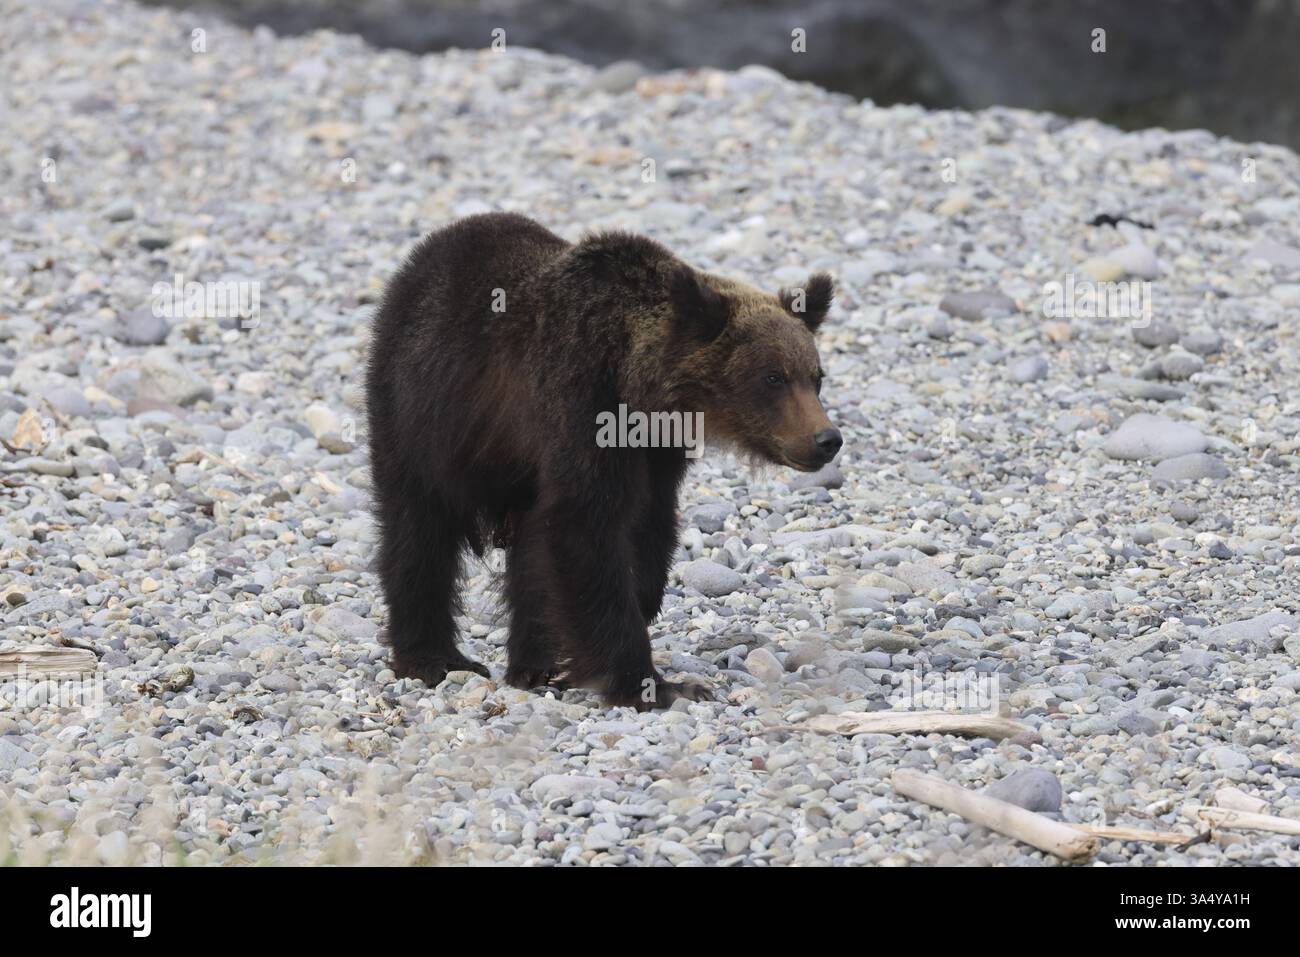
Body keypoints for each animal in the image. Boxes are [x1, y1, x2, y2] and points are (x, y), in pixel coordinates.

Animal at [365, 212, 840, 709]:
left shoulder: (657, 448)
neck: (640, 386)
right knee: (418, 529)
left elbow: (648, 523)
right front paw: (655, 684)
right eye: (773, 377)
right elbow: (585, 528)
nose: (827, 439)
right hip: (422, 407)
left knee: (527, 540)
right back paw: (434, 658)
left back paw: (534, 663)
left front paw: (638, 606)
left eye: (815, 376)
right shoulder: (580, 402)